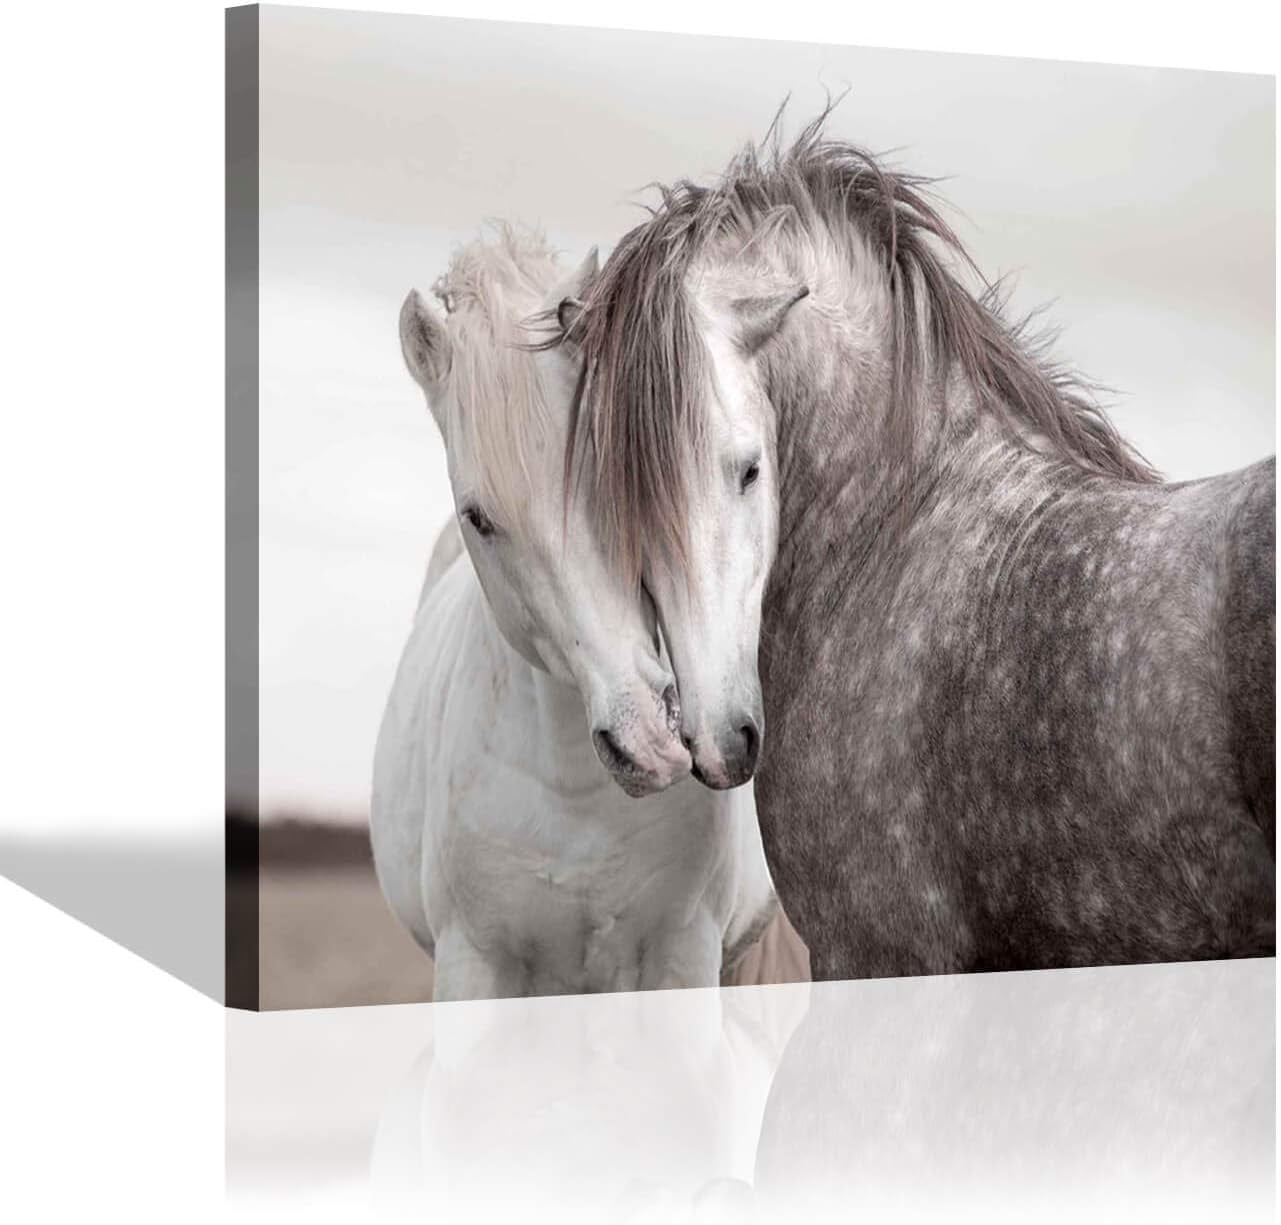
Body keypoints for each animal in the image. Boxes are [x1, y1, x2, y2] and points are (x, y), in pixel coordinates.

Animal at [370, 226, 784, 1000]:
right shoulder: (473, 964)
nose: (648, 739)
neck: (577, 799)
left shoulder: (682, 959)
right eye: (479, 517)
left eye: (613, 469)